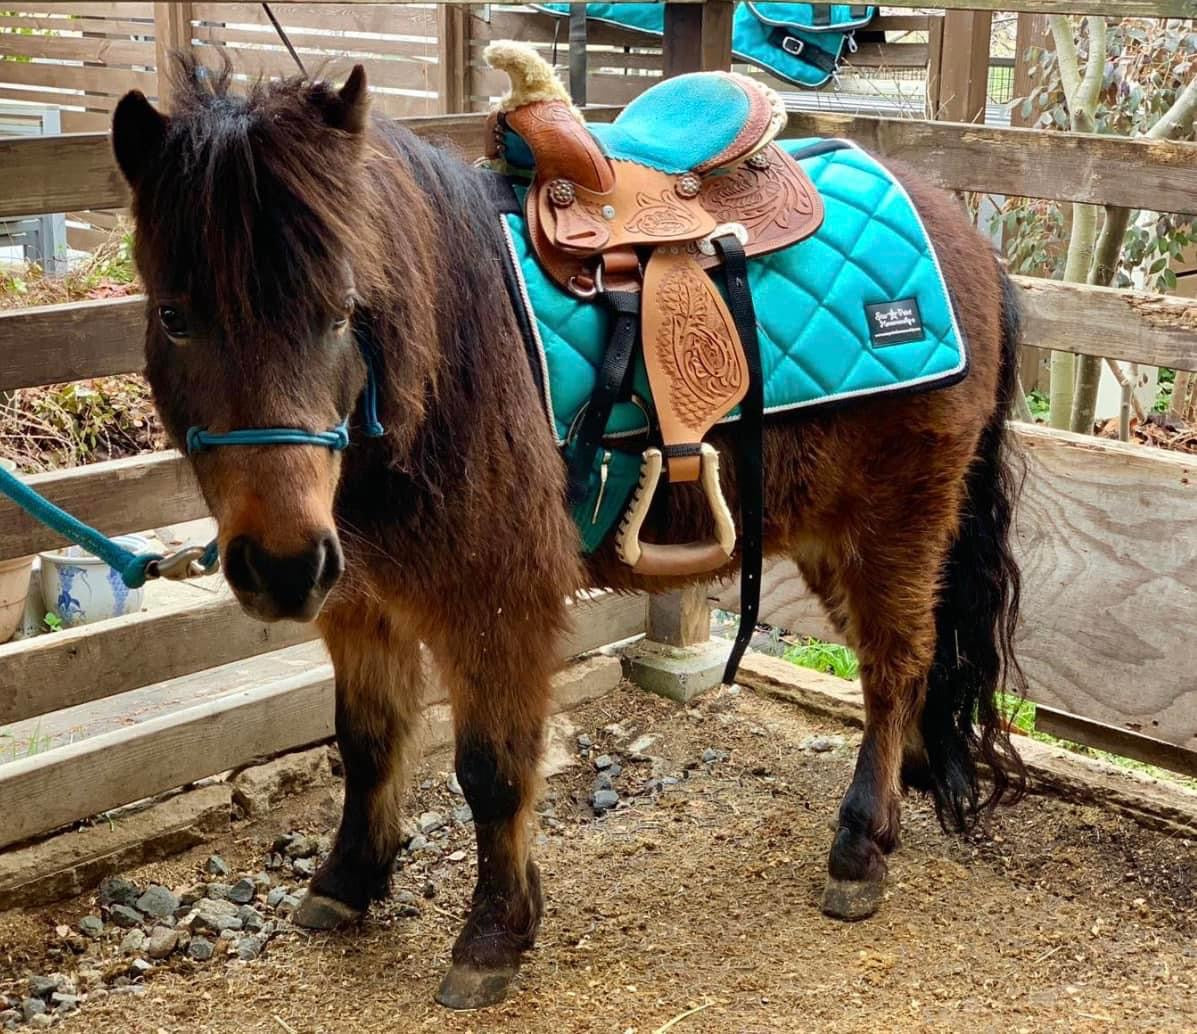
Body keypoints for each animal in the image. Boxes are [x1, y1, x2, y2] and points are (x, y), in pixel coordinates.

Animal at [110, 57, 1026, 1009]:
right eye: (175, 316)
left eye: (339, 311)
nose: (282, 566)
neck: (439, 363)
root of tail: (964, 234)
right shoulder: (359, 600)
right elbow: (364, 742)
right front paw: (348, 881)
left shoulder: (495, 599)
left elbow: (492, 769)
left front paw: (494, 933)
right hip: (828, 533)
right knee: (910, 659)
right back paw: (908, 783)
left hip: (898, 516)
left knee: (893, 664)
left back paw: (860, 845)